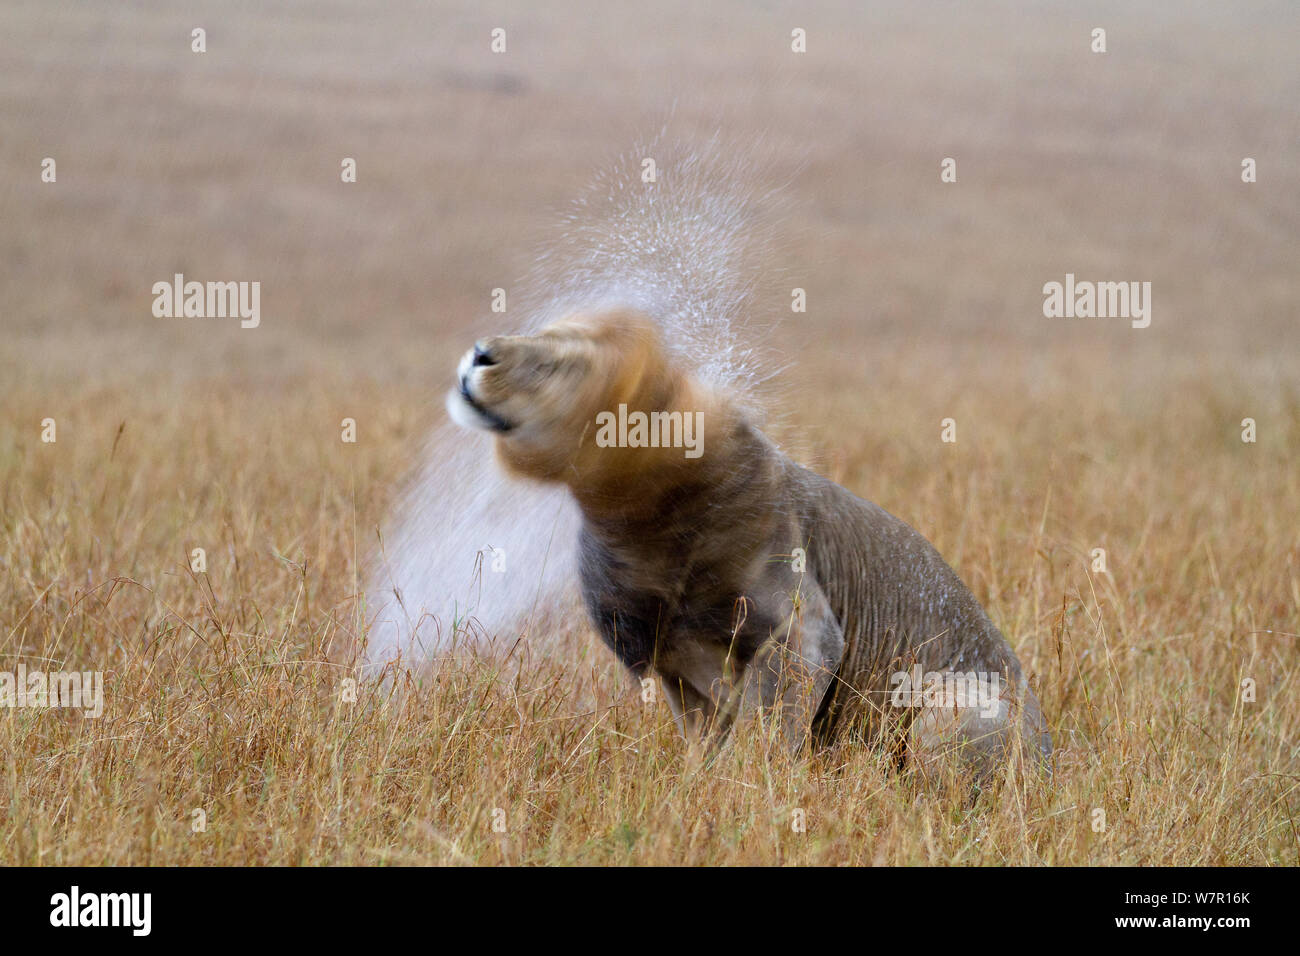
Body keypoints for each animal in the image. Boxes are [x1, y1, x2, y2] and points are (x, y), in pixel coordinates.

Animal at [447, 307, 1052, 778]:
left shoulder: (801, 634)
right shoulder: (675, 665)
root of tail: (1055, 758)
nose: (480, 352)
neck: (640, 516)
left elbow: (765, 741)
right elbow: (706, 744)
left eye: (558, 363)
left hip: (959, 705)